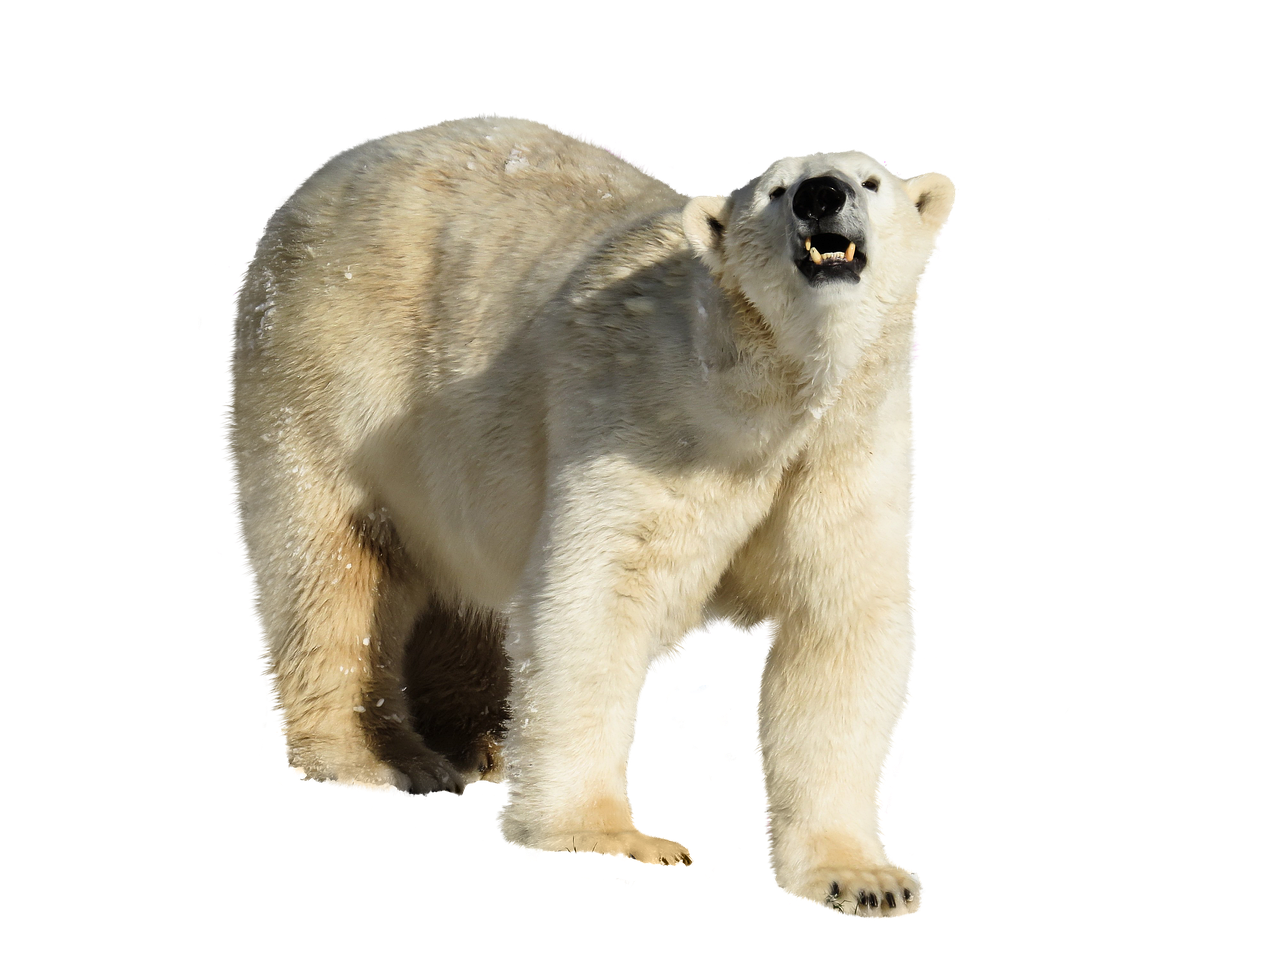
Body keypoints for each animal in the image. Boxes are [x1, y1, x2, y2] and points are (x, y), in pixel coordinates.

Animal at [221, 115, 956, 918]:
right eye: (775, 189)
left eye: (871, 181)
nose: (822, 196)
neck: (770, 395)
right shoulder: (649, 419)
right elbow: (602, 597)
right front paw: (610, 837)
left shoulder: (843, 452)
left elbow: (839, 627)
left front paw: (866, 879)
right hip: (330, 383)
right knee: (334, 573)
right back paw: (382, 759)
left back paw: (480, 743)